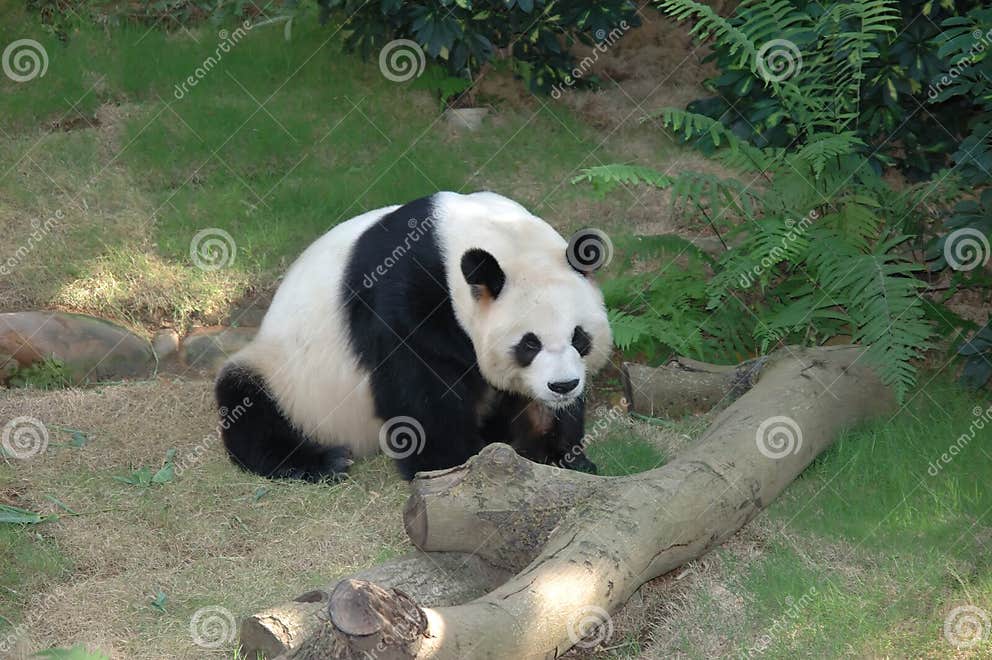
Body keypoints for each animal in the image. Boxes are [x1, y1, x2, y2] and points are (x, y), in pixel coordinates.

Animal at [215, 191, 612, 481]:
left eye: (579, 337)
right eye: (529, 344)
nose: (562, 386)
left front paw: (561, 455)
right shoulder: (401, 295)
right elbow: (419, 387)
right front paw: (451, 465)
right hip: (287, 376)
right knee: (248, 404)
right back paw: (323, 461)